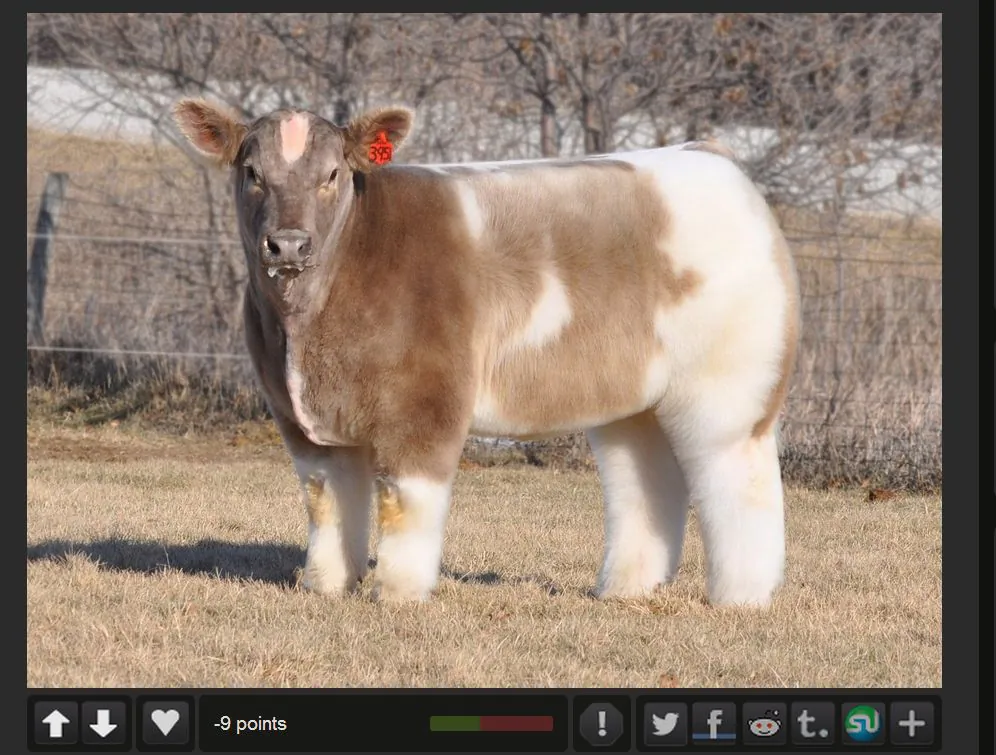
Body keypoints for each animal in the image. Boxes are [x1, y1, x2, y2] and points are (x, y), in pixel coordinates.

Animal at [172, 98, 800, 608]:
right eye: (252, 172)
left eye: (332, 174)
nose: (288, 244)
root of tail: (711, 155)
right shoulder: (300, 419)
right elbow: (327, 504)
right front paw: (326, 586)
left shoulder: (425, 403)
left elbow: (405, 503)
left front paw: (397, 594)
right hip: (634, 399)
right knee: (645, 481)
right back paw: (626, 589)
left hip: (729, 389)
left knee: (737, 482)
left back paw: (741, 597)